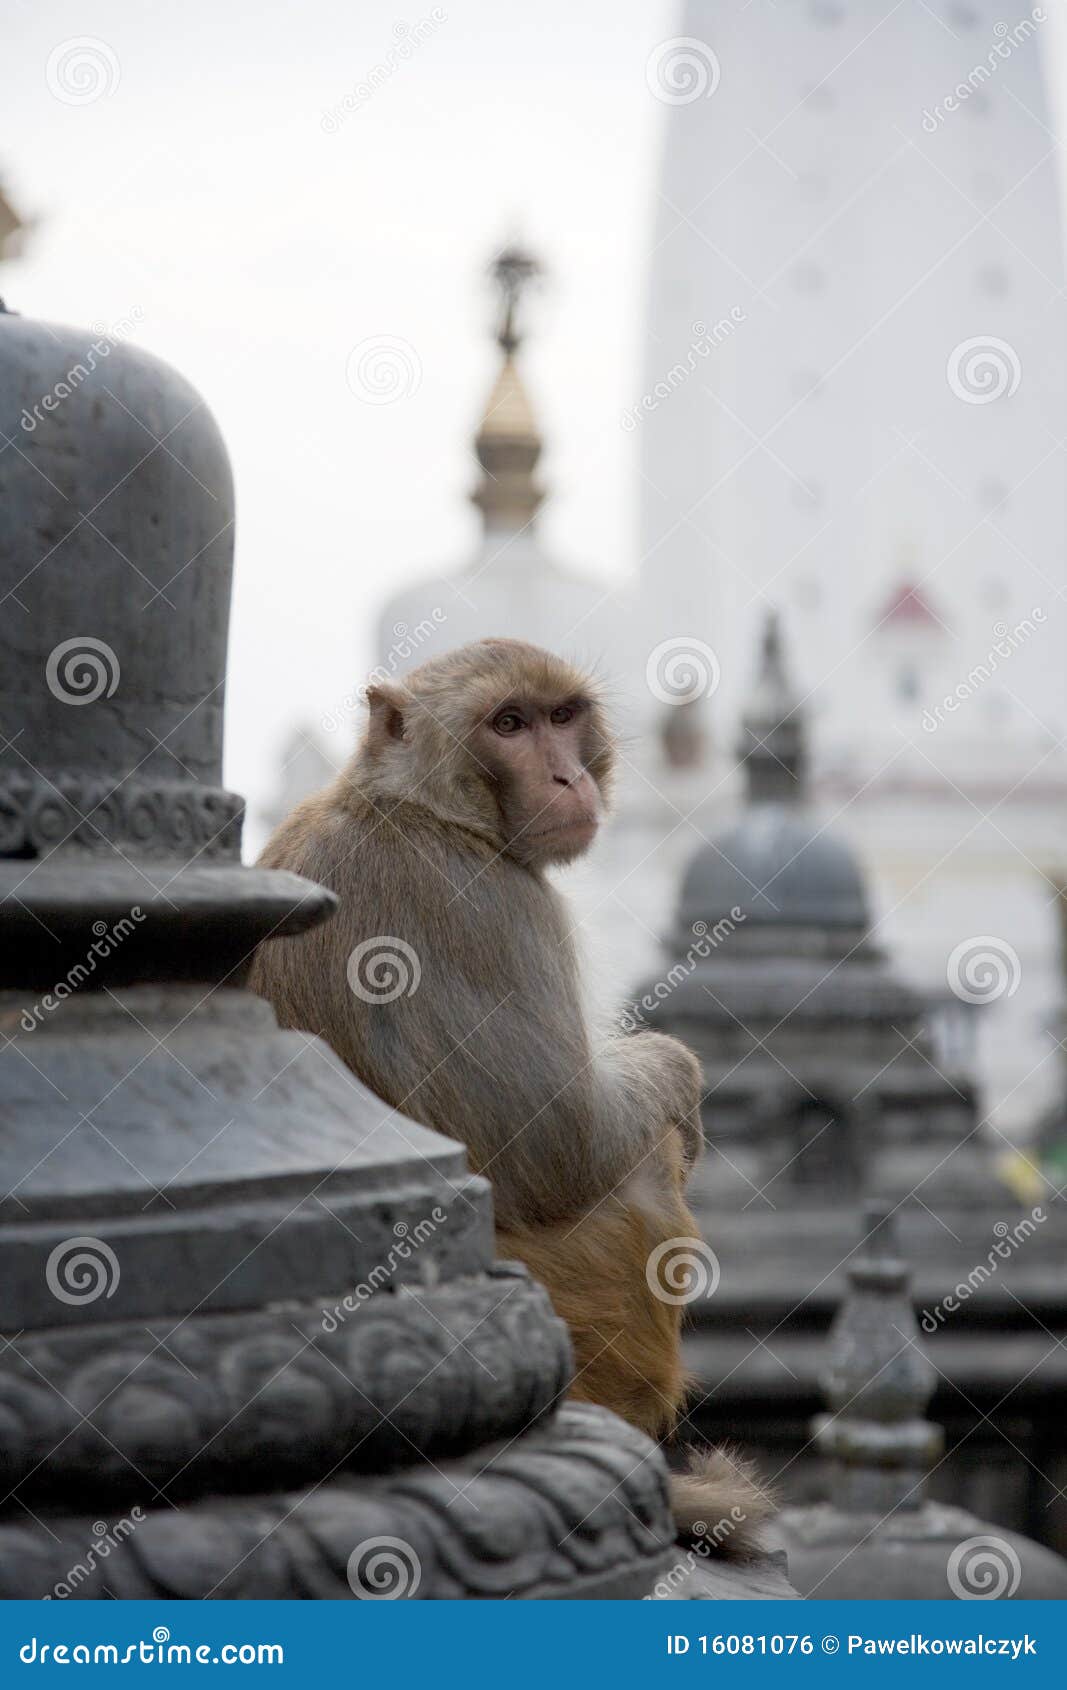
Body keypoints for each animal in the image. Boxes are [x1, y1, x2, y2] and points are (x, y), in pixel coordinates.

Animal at [248, 639, 773, 1553]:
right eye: (507, 725)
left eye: (559, 717)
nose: (567, 776)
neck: (414, 803)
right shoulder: (496, 903)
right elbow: (561, 1143)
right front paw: (678, 1074)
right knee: (642, 1174)